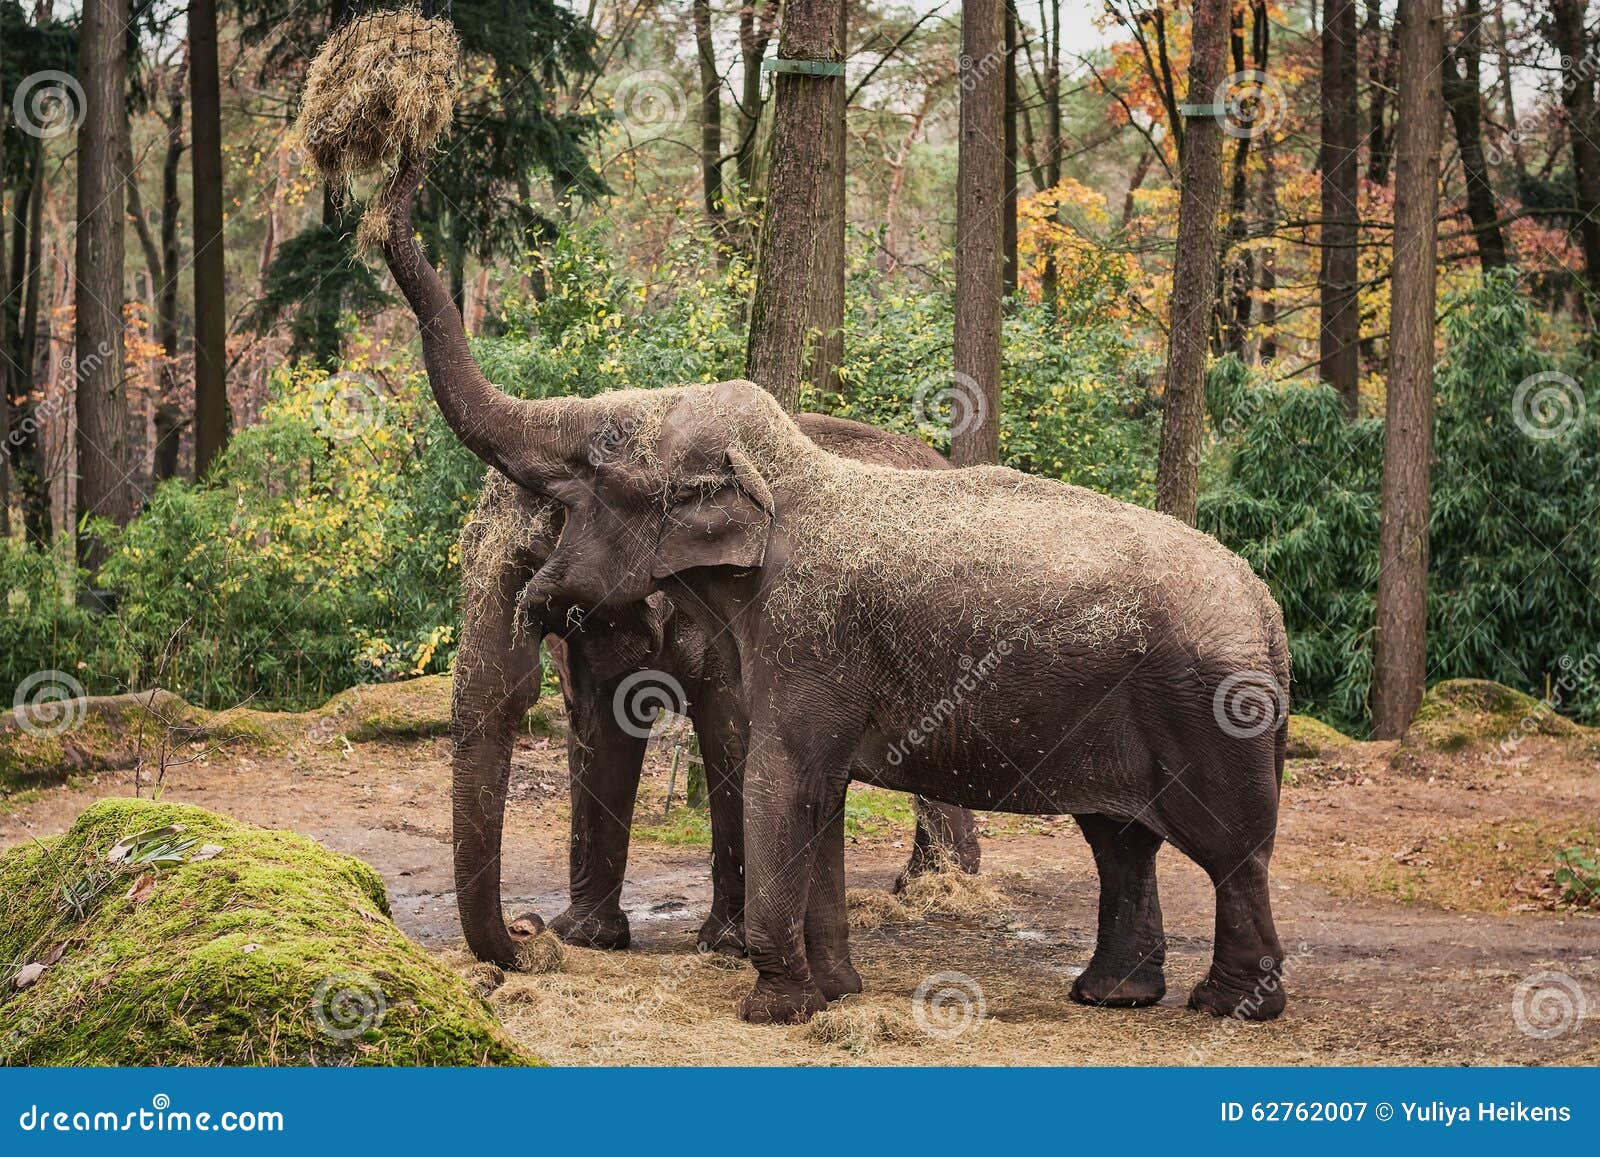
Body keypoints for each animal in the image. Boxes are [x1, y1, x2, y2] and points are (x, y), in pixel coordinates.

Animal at [377, 150, 1291, 1025]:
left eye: (589, 468)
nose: (528, 931)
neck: (789, 472)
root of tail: (1267, 607)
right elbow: (813, 786)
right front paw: (838, 991)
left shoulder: (805, 634)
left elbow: (778, 775)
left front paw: (771, 1005)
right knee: (1122, 839)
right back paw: (1112, 994)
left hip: (1211, 708)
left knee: (1232, 853)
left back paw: (1229, 1005)